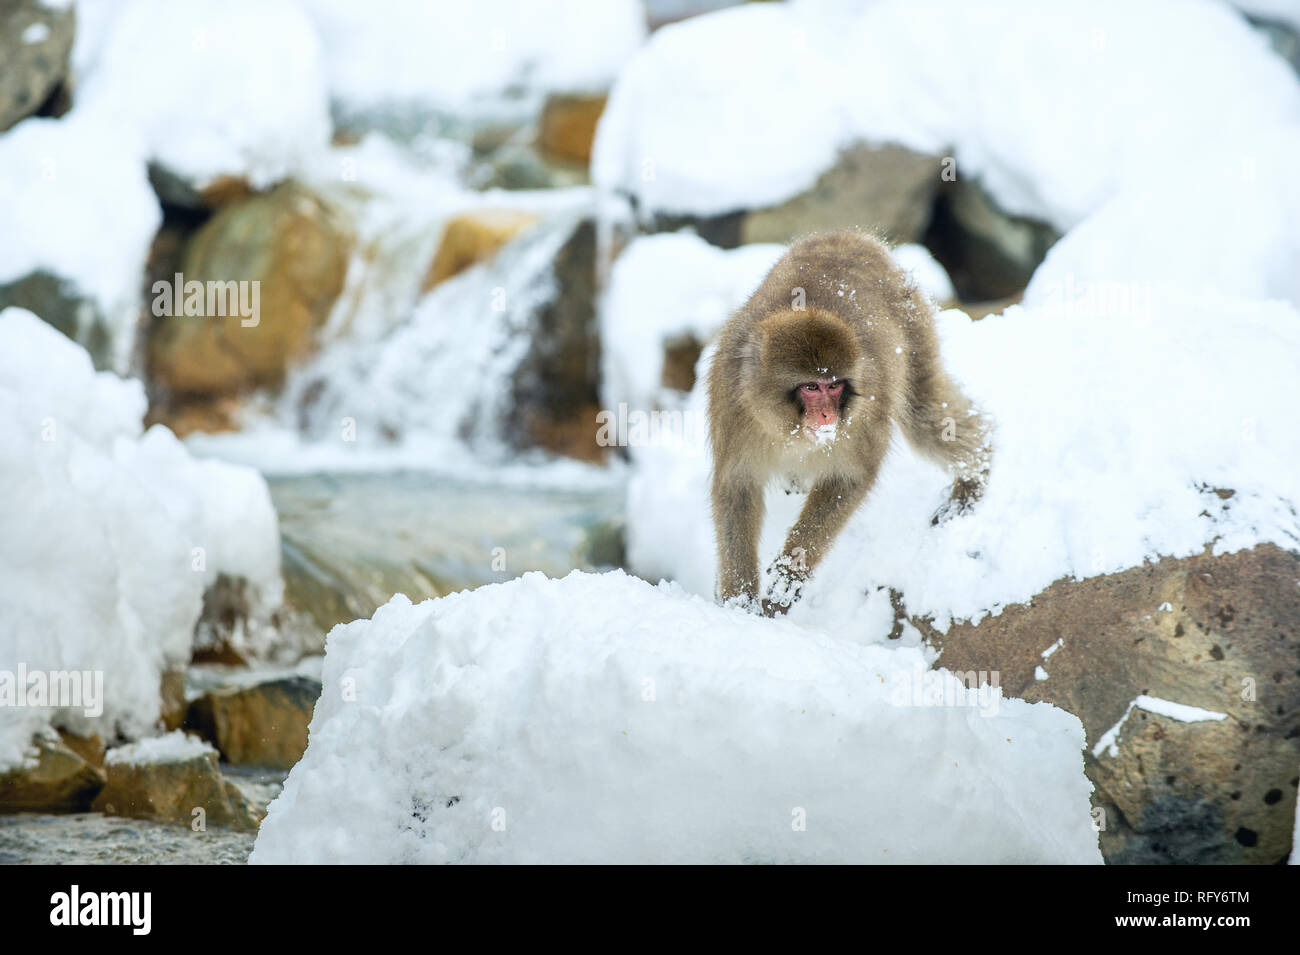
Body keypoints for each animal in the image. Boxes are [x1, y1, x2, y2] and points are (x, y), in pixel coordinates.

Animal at [707, 230, 992, 615]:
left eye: (834, 385)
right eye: (811, 387)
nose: (829, 415)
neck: (790, 431)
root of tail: (849, 235)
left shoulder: (865, 414)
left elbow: (850, 479)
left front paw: (790, 571)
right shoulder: (733, 408)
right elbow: (736, 488)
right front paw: (740, 600)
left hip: (914, 326)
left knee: (925, 417)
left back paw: (974, 480)